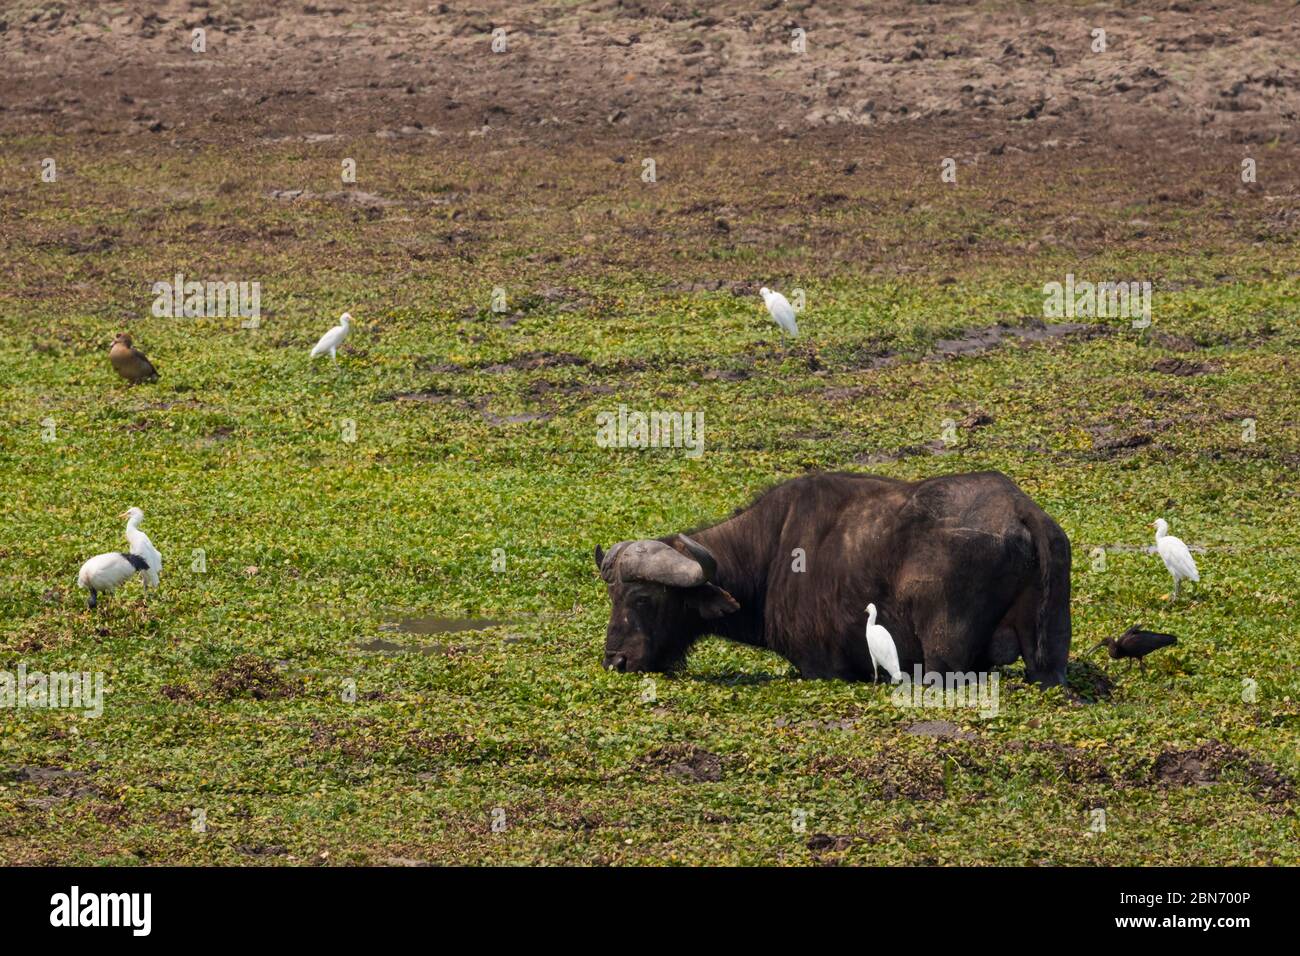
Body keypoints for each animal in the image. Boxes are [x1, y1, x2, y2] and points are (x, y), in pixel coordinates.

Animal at [595, 470, 1072, 687]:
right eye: (612, 596)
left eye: (643, 598)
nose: (616, 661)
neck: (769, 552)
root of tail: (1021, 511)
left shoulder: (820, 668)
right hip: (1050, 659)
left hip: (943, 657)